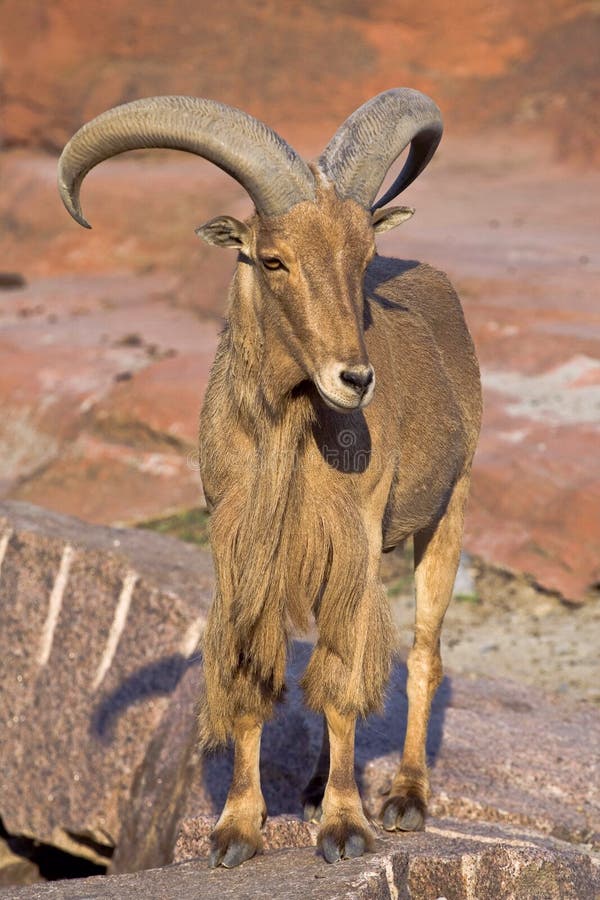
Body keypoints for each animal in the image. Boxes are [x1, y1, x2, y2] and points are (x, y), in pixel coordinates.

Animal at [58, 89, 481, 868]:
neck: (289, 434)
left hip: (450, 507)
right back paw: (314, 788)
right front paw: (235, 831)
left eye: (364, 256)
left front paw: (344, 828)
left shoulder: (352, 540)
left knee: (422, 655)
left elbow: (344, 685)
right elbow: (256, 683)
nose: (355, 378)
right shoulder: (243, 550)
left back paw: (405, 798)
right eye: (273, 260)